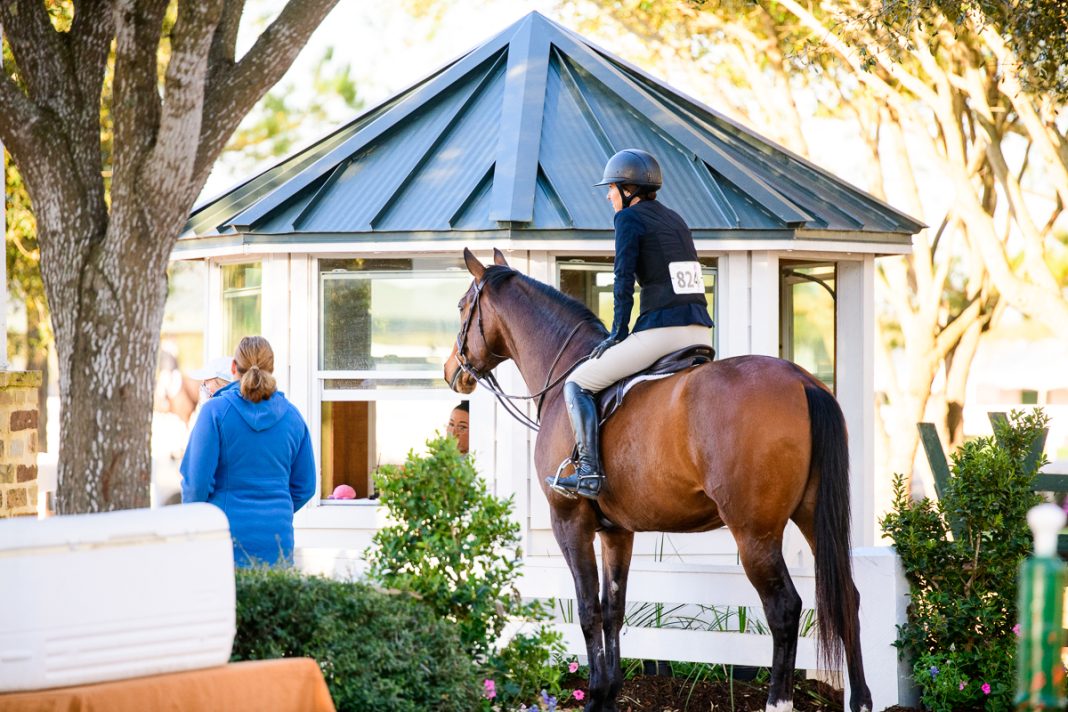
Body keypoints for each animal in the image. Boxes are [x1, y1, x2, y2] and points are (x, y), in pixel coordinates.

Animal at [444, 248, 871, 712]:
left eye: (463, 306)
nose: (452, 371)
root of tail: (803, 382)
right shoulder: (617, 532)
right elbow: (613, 607)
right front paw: (609, 693)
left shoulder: (570, 521)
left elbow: (588, 608)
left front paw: (594, 696)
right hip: (811, 515)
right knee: (847, 595)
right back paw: (863, 699)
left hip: (754, 533)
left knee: (784, 609)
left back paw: (779, 702)